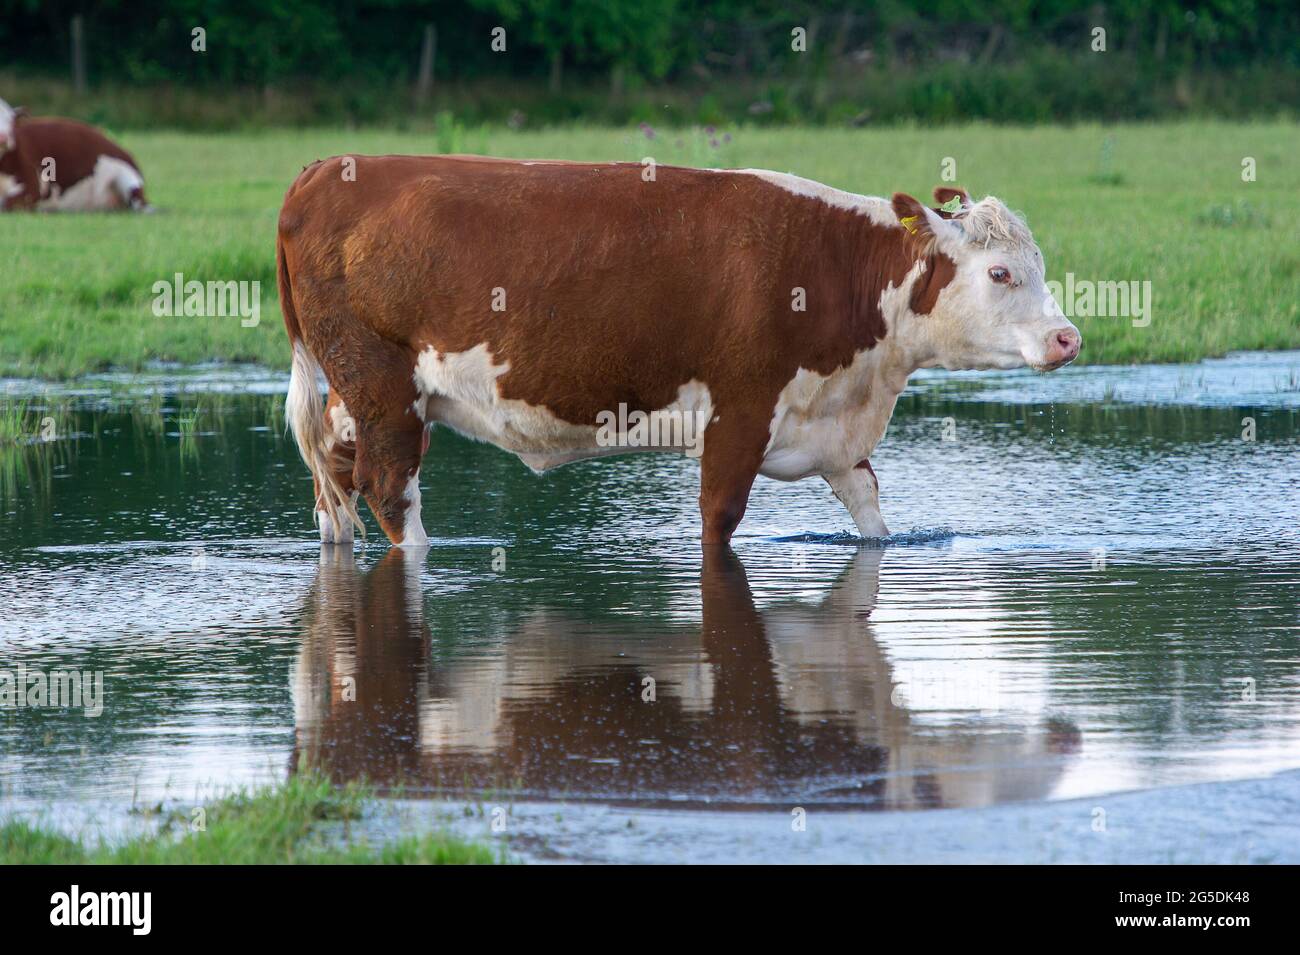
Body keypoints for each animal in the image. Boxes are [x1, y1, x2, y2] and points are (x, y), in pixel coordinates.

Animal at [277, 156, 1081, 548]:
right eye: (1001, 273)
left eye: (1040, 263)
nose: (1067, 336)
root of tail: (326, 167)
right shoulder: (739, 415)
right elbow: (718, 519)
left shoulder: (834, 432)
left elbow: (872, 513)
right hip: (383, 384)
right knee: (388, 489)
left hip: (354, 394)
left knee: (333, 480)